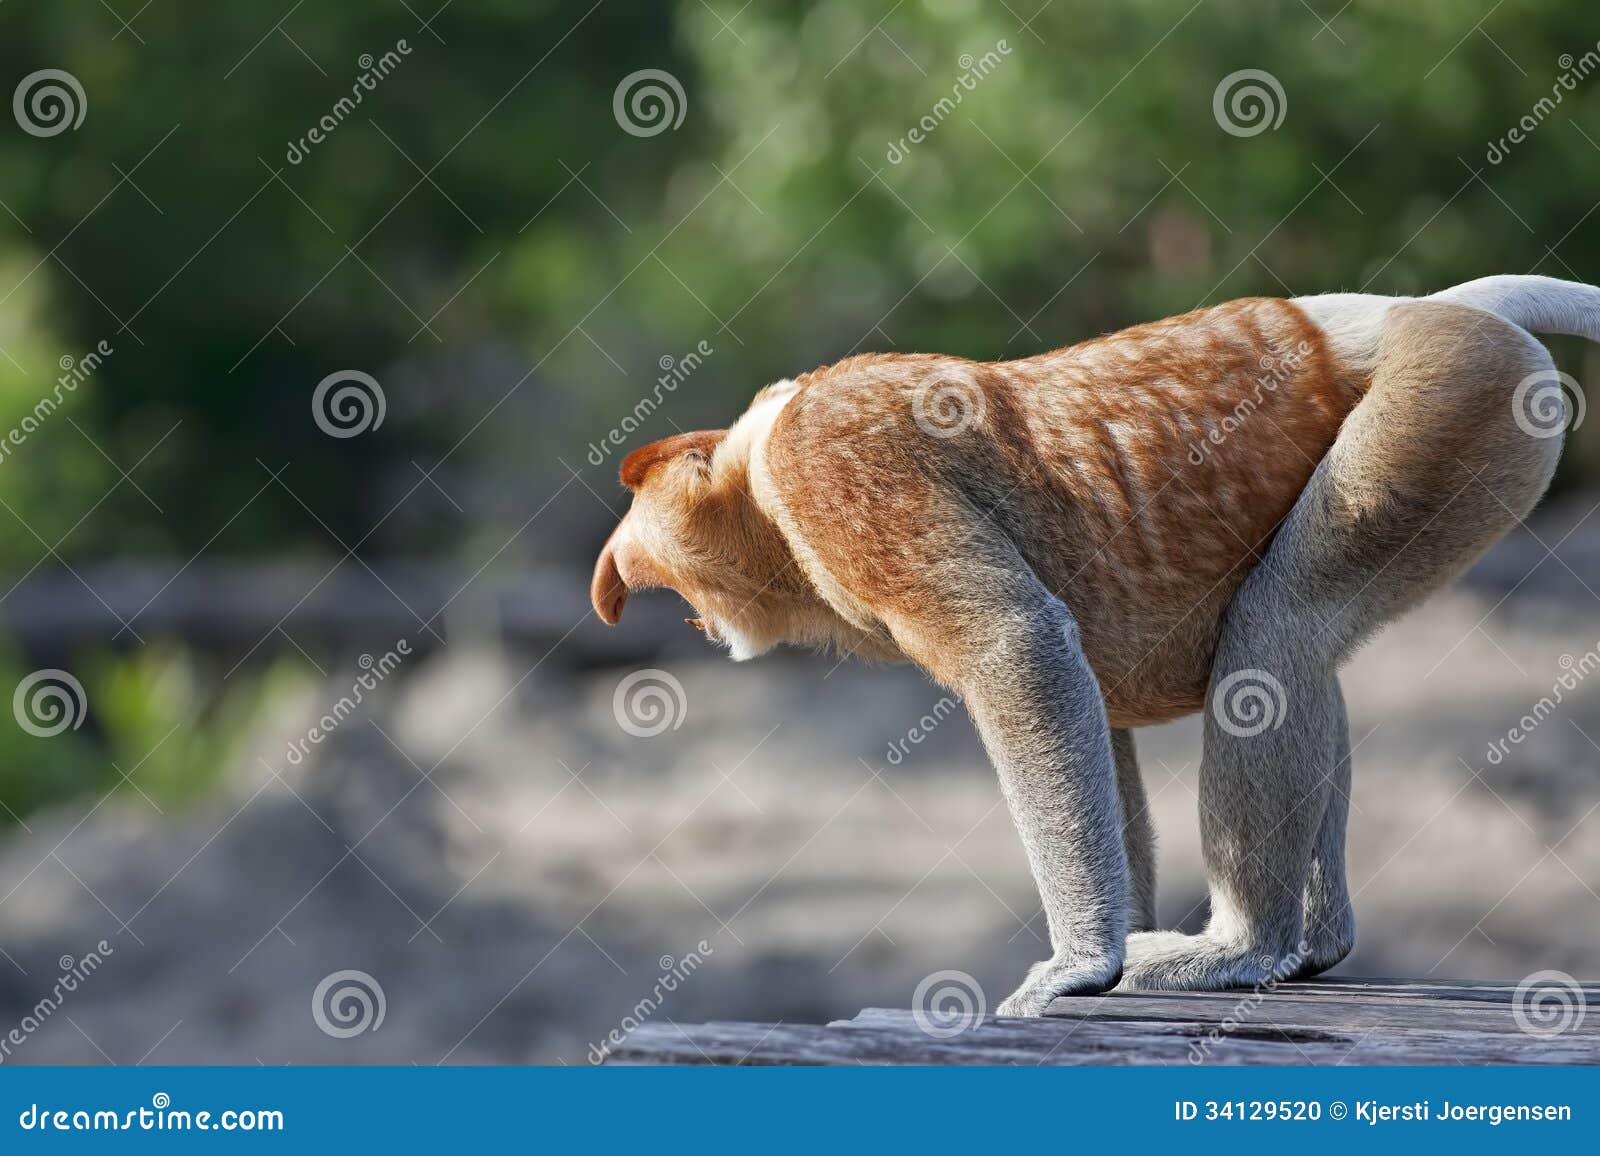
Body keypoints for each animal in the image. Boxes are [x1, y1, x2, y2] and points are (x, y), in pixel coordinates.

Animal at [591, 274, 1600, 1015]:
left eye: (640, 489)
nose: (620, 571)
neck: (758, 472)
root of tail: (1418, 308)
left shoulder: (839, 463)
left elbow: (1017, 646)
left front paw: (1080, 964)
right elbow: (1094, 715)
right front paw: (1112, 939)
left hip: (1446, 409)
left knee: (1280, 628)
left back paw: (1242, 949)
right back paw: (1311, 947)